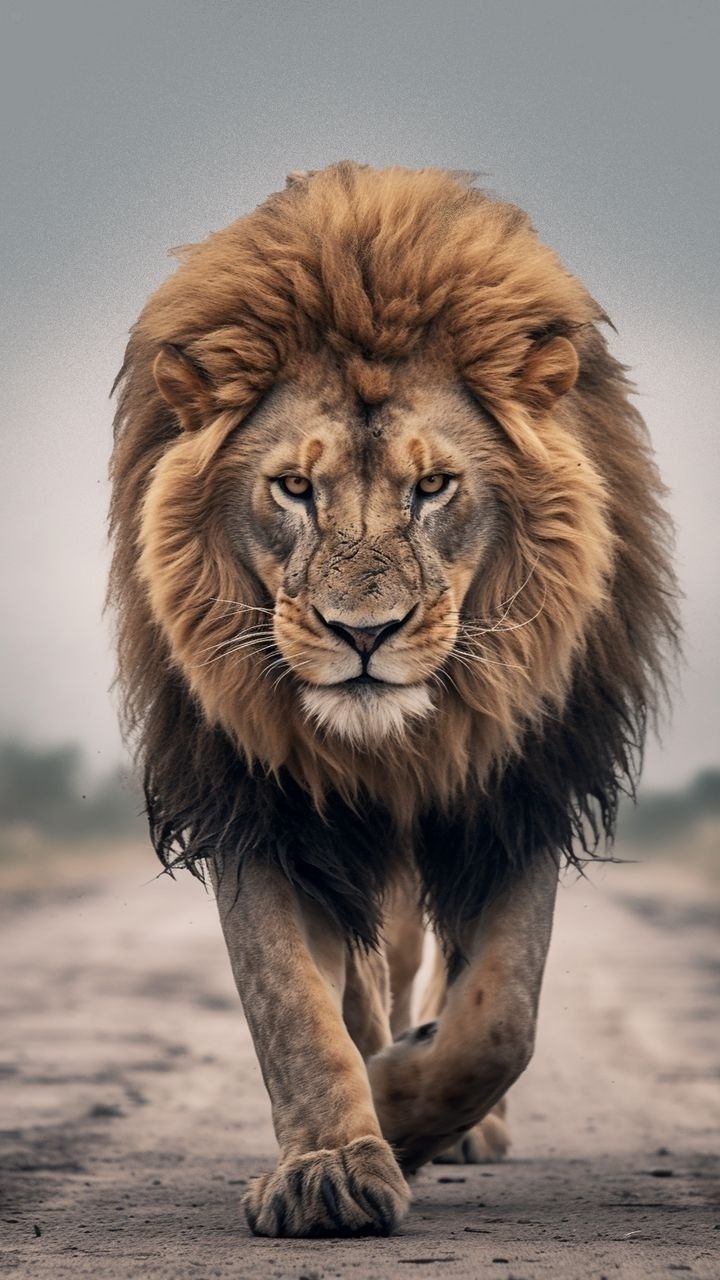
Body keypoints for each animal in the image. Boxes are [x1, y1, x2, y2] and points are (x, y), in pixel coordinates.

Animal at [108, 161, 677, 1237]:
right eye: (293, 487)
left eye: (435, 486)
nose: (362, 633)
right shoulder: (255, 797)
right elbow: (289, 1000)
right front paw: (330, 1163)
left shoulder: (519, 787)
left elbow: (499, 1017)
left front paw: (406, 1105)